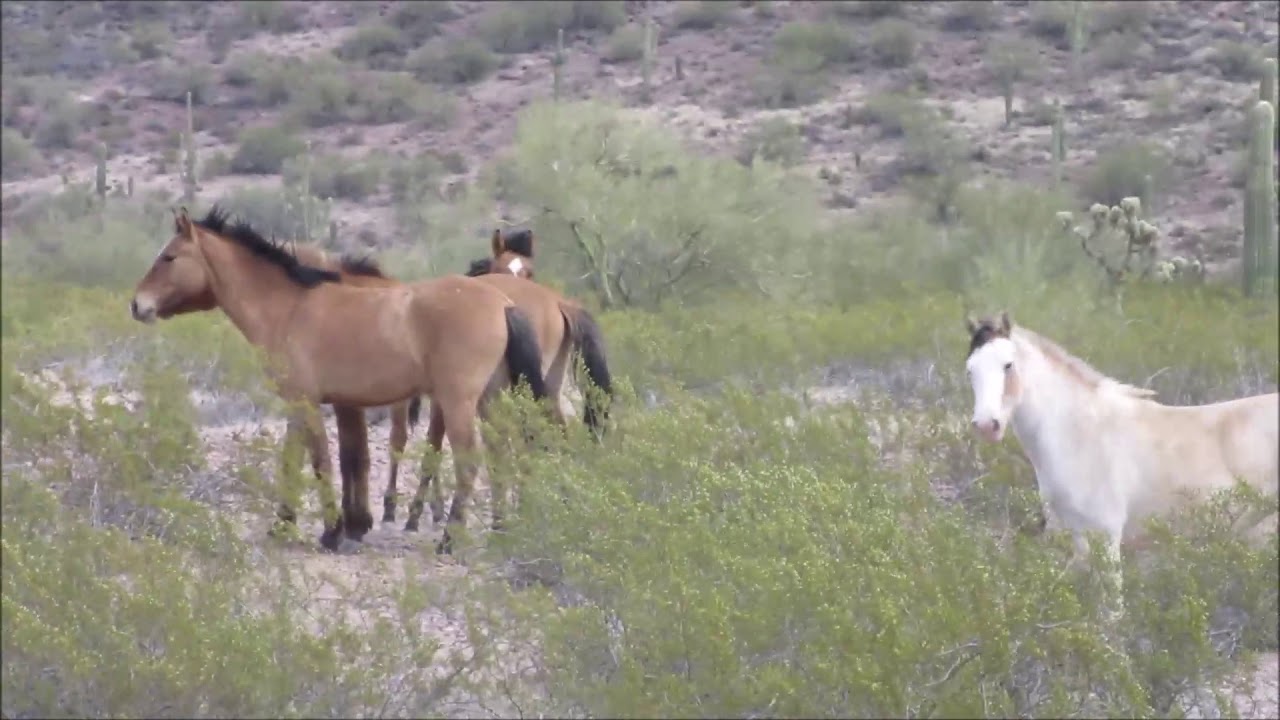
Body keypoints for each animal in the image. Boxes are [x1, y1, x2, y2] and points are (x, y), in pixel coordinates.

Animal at [129, 206, 550, 555]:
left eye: (169, 257)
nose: (137, 305)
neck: (289, 308)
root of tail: (503, 303)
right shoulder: (300, 404)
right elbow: (294, 459)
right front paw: (284, 525)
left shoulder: (308, 402)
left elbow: (321, 461)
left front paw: (331, 531)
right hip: (489, 400)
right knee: (498, 456)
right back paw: (498, 530)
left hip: (459, 402)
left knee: (469, 462)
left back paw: (449, 540)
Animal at [964, 312, 1279, 613]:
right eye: (970, 370)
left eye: (1008, 365)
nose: (986, 425)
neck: (1079, 436)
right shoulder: (1070, 538)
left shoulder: (1107, 537)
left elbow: (1112, 612)